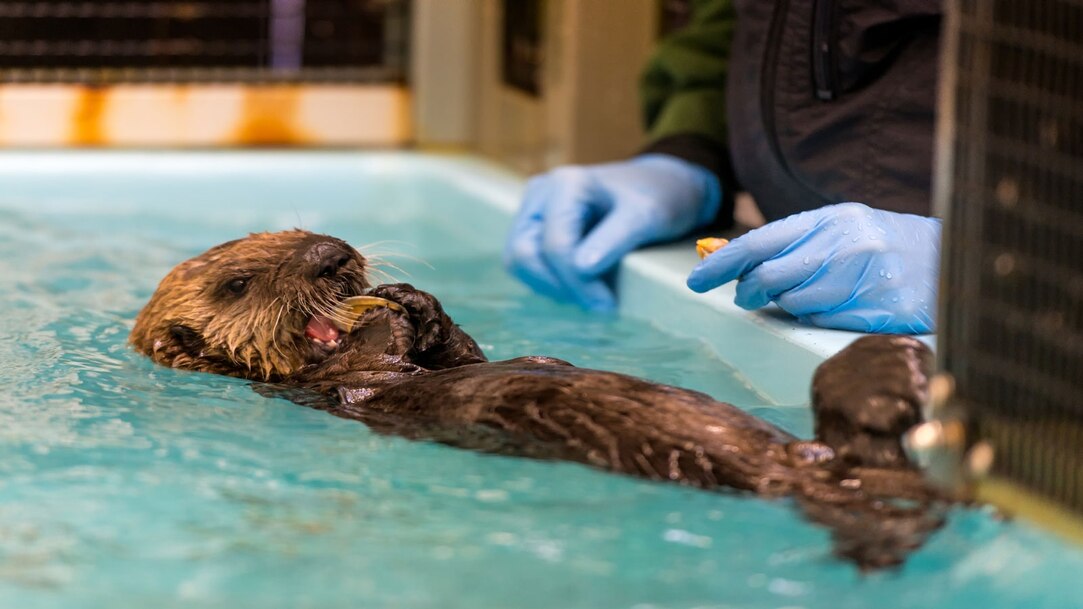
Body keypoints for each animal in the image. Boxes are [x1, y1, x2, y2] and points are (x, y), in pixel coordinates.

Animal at [131, 229, 946, 569]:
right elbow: (368, 369)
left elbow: (463, 354)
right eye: (239, 282)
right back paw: (884, 372)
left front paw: (411, 300)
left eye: (299, 230)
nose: (333, 256)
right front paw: (385, 321)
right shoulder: (339, 390)